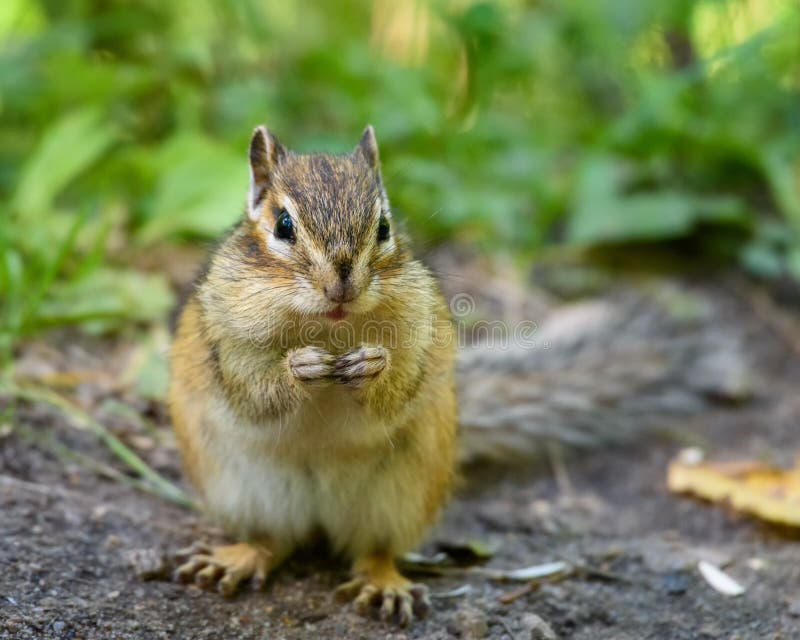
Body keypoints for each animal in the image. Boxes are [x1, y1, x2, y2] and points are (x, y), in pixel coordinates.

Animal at [168, 125, 456, 625]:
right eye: (284, 225)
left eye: (384, 227)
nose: (342, 286)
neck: (327, 328)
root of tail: (319, 520)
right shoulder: (227, 345)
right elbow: (255, 394)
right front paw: (299, 368)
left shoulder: (419, 335)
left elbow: (399, 388)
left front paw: (371, 368)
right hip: (243, 492)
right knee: (272, 543)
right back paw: (236, 558)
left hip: (402, 496)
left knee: (375, 550)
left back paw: (383, 583)